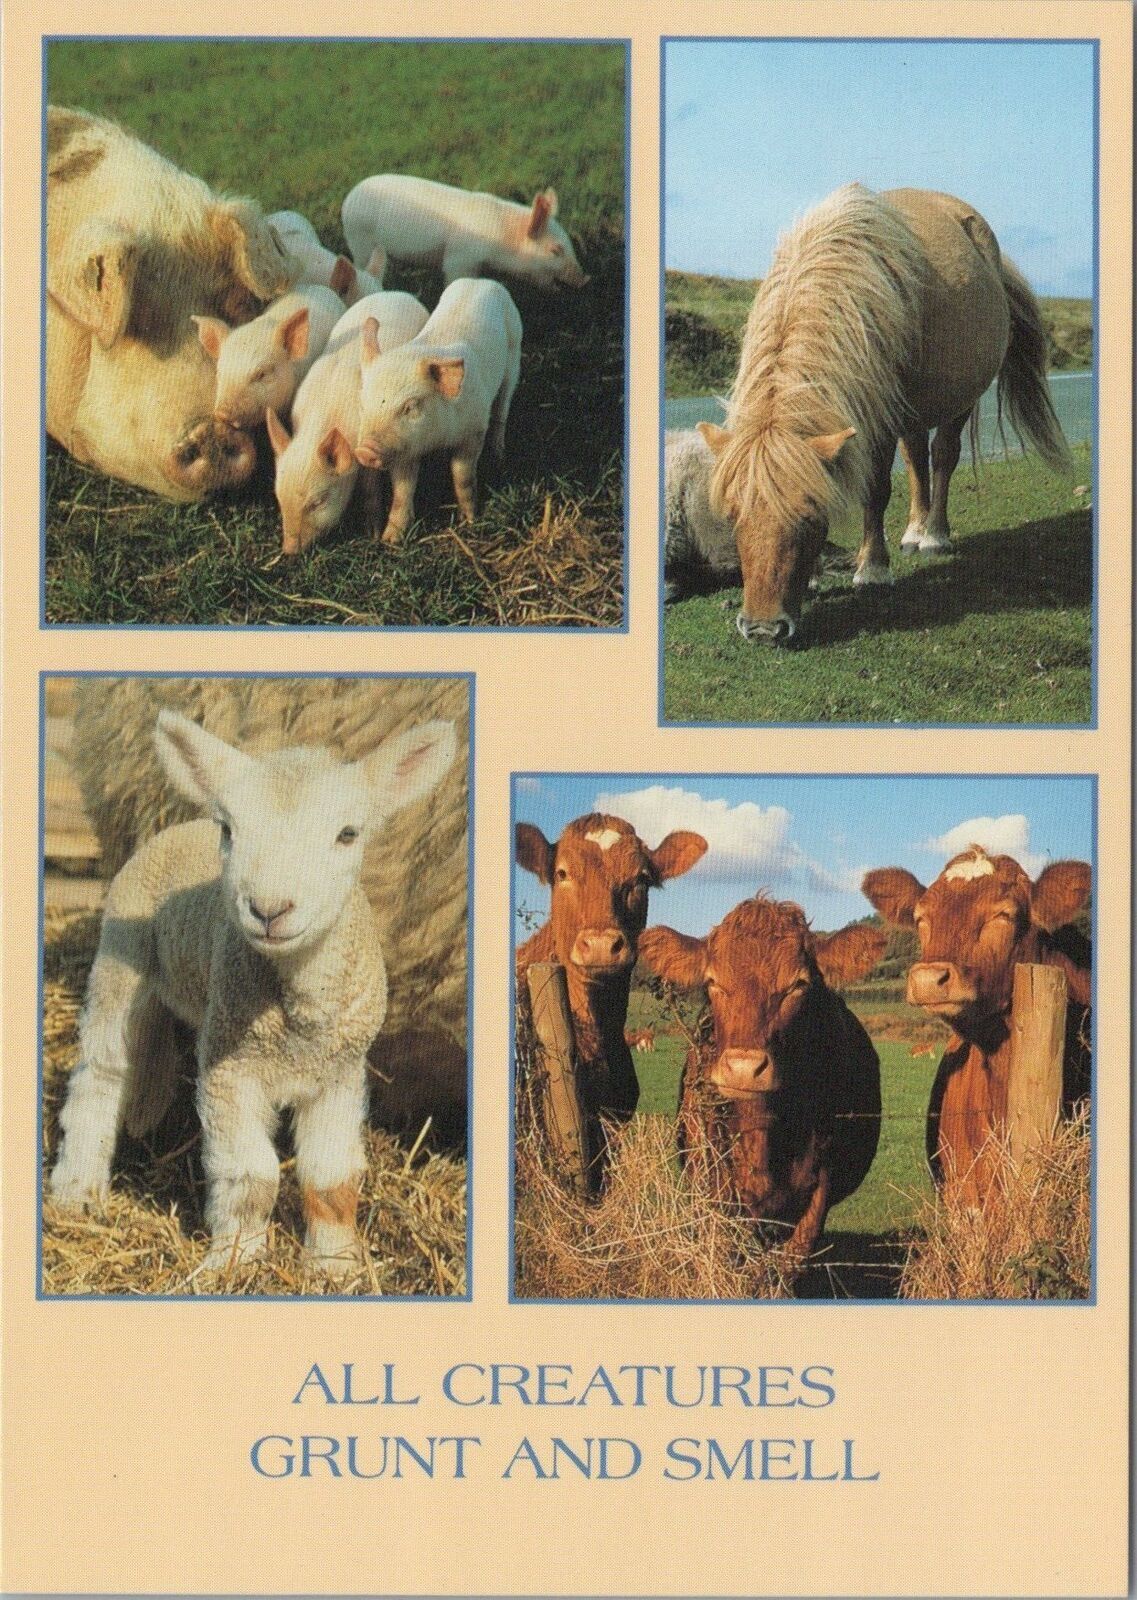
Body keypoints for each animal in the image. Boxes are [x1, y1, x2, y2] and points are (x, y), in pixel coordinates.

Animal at [699, 185, 1072, 644]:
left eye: (809, 516)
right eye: (733, 516)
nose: (764, 629)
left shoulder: (877, 424)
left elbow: (875, 491)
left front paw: (873, 569)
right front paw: (820, 576)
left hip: (960, 399)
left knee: (943, 455)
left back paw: (933, 536)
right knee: (916, 458)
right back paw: (913, 531)